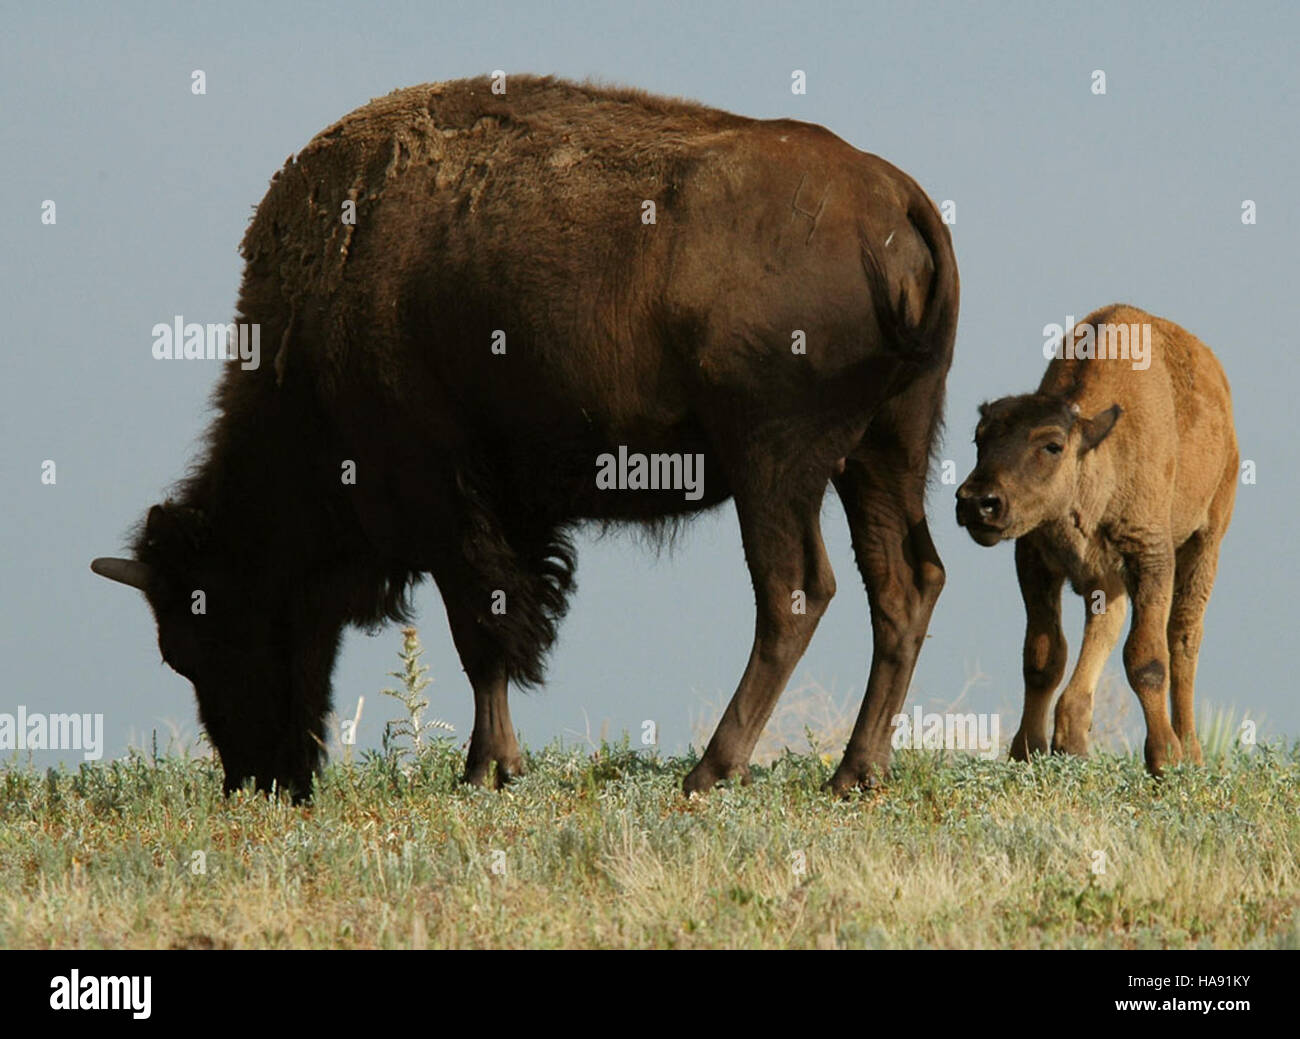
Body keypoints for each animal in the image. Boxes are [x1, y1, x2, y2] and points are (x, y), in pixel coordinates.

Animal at [91, 75, 958, 801]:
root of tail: (900, 203)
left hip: (774, 467)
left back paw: (712, 771)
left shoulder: (447, 502)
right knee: (902, 583)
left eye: (203, 633)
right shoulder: (505, 515)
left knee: (795, 593)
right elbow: (497, 625)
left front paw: (488, 768)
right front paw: (495, 764)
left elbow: (482, 631)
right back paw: (854, 773)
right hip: (882, 453)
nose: (258, 777)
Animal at [955, 304, 1237, 775]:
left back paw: (1192, 752)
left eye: (1051, 445)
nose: (978, 503)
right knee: (1106, 624)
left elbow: (1146, 658)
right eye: (980, 438)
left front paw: (1164, 758)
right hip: (1106, 576)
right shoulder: (1035, 561)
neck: (1099, 456)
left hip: (1207, 539)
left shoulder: (1151, 557)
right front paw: (1027, 751)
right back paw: (1072, 737)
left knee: (1183, 641)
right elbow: (1043, 657)